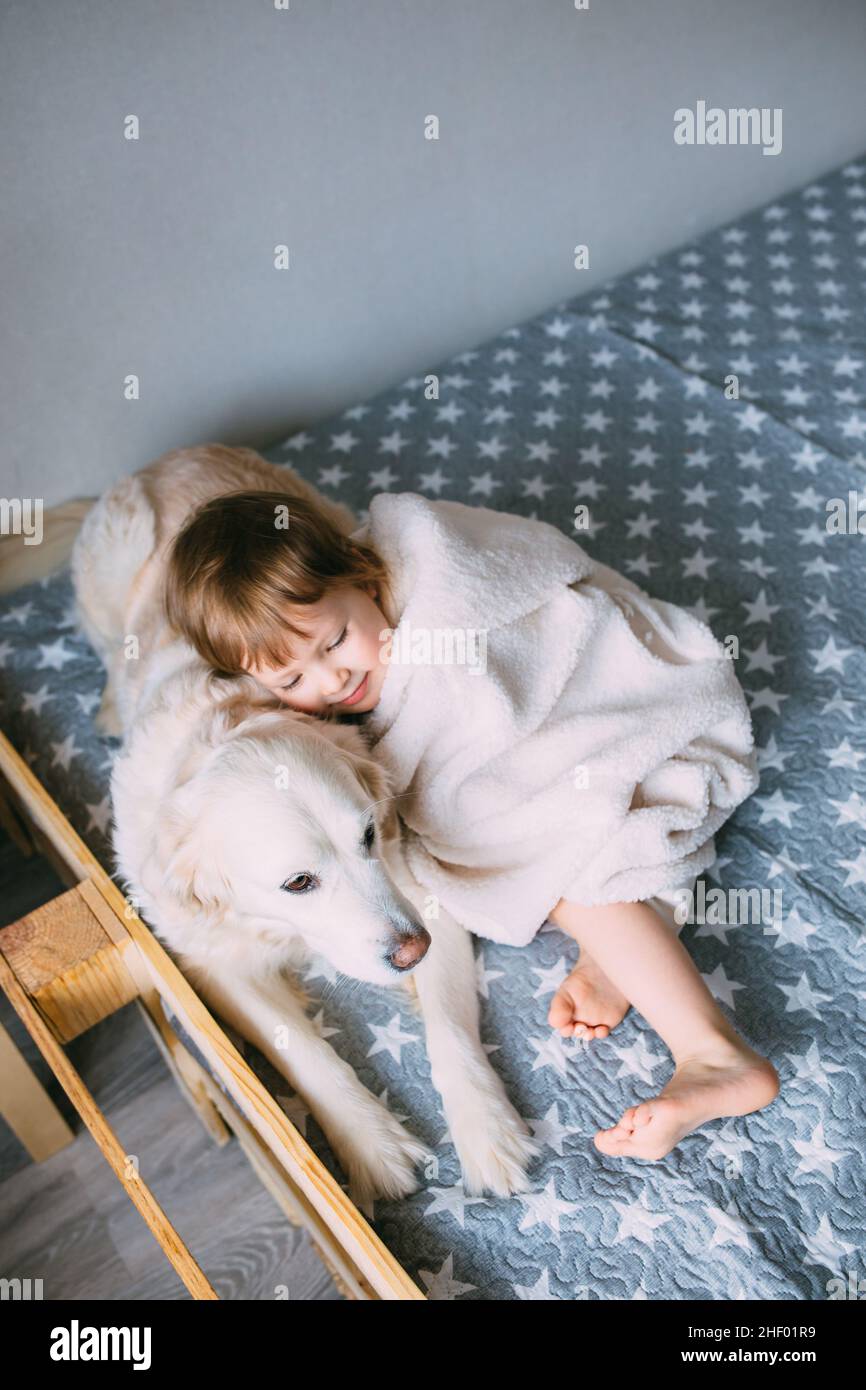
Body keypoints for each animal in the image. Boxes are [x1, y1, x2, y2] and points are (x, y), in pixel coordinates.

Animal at [71, 447, 539, 1206]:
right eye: (298, 883)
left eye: (369, 838)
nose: (409, 949)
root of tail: (168, 458)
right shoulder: (209, 962)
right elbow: (305, 1053)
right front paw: (373, 1146)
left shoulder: (418, 893)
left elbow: (449, 1028)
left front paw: (486, 1130)